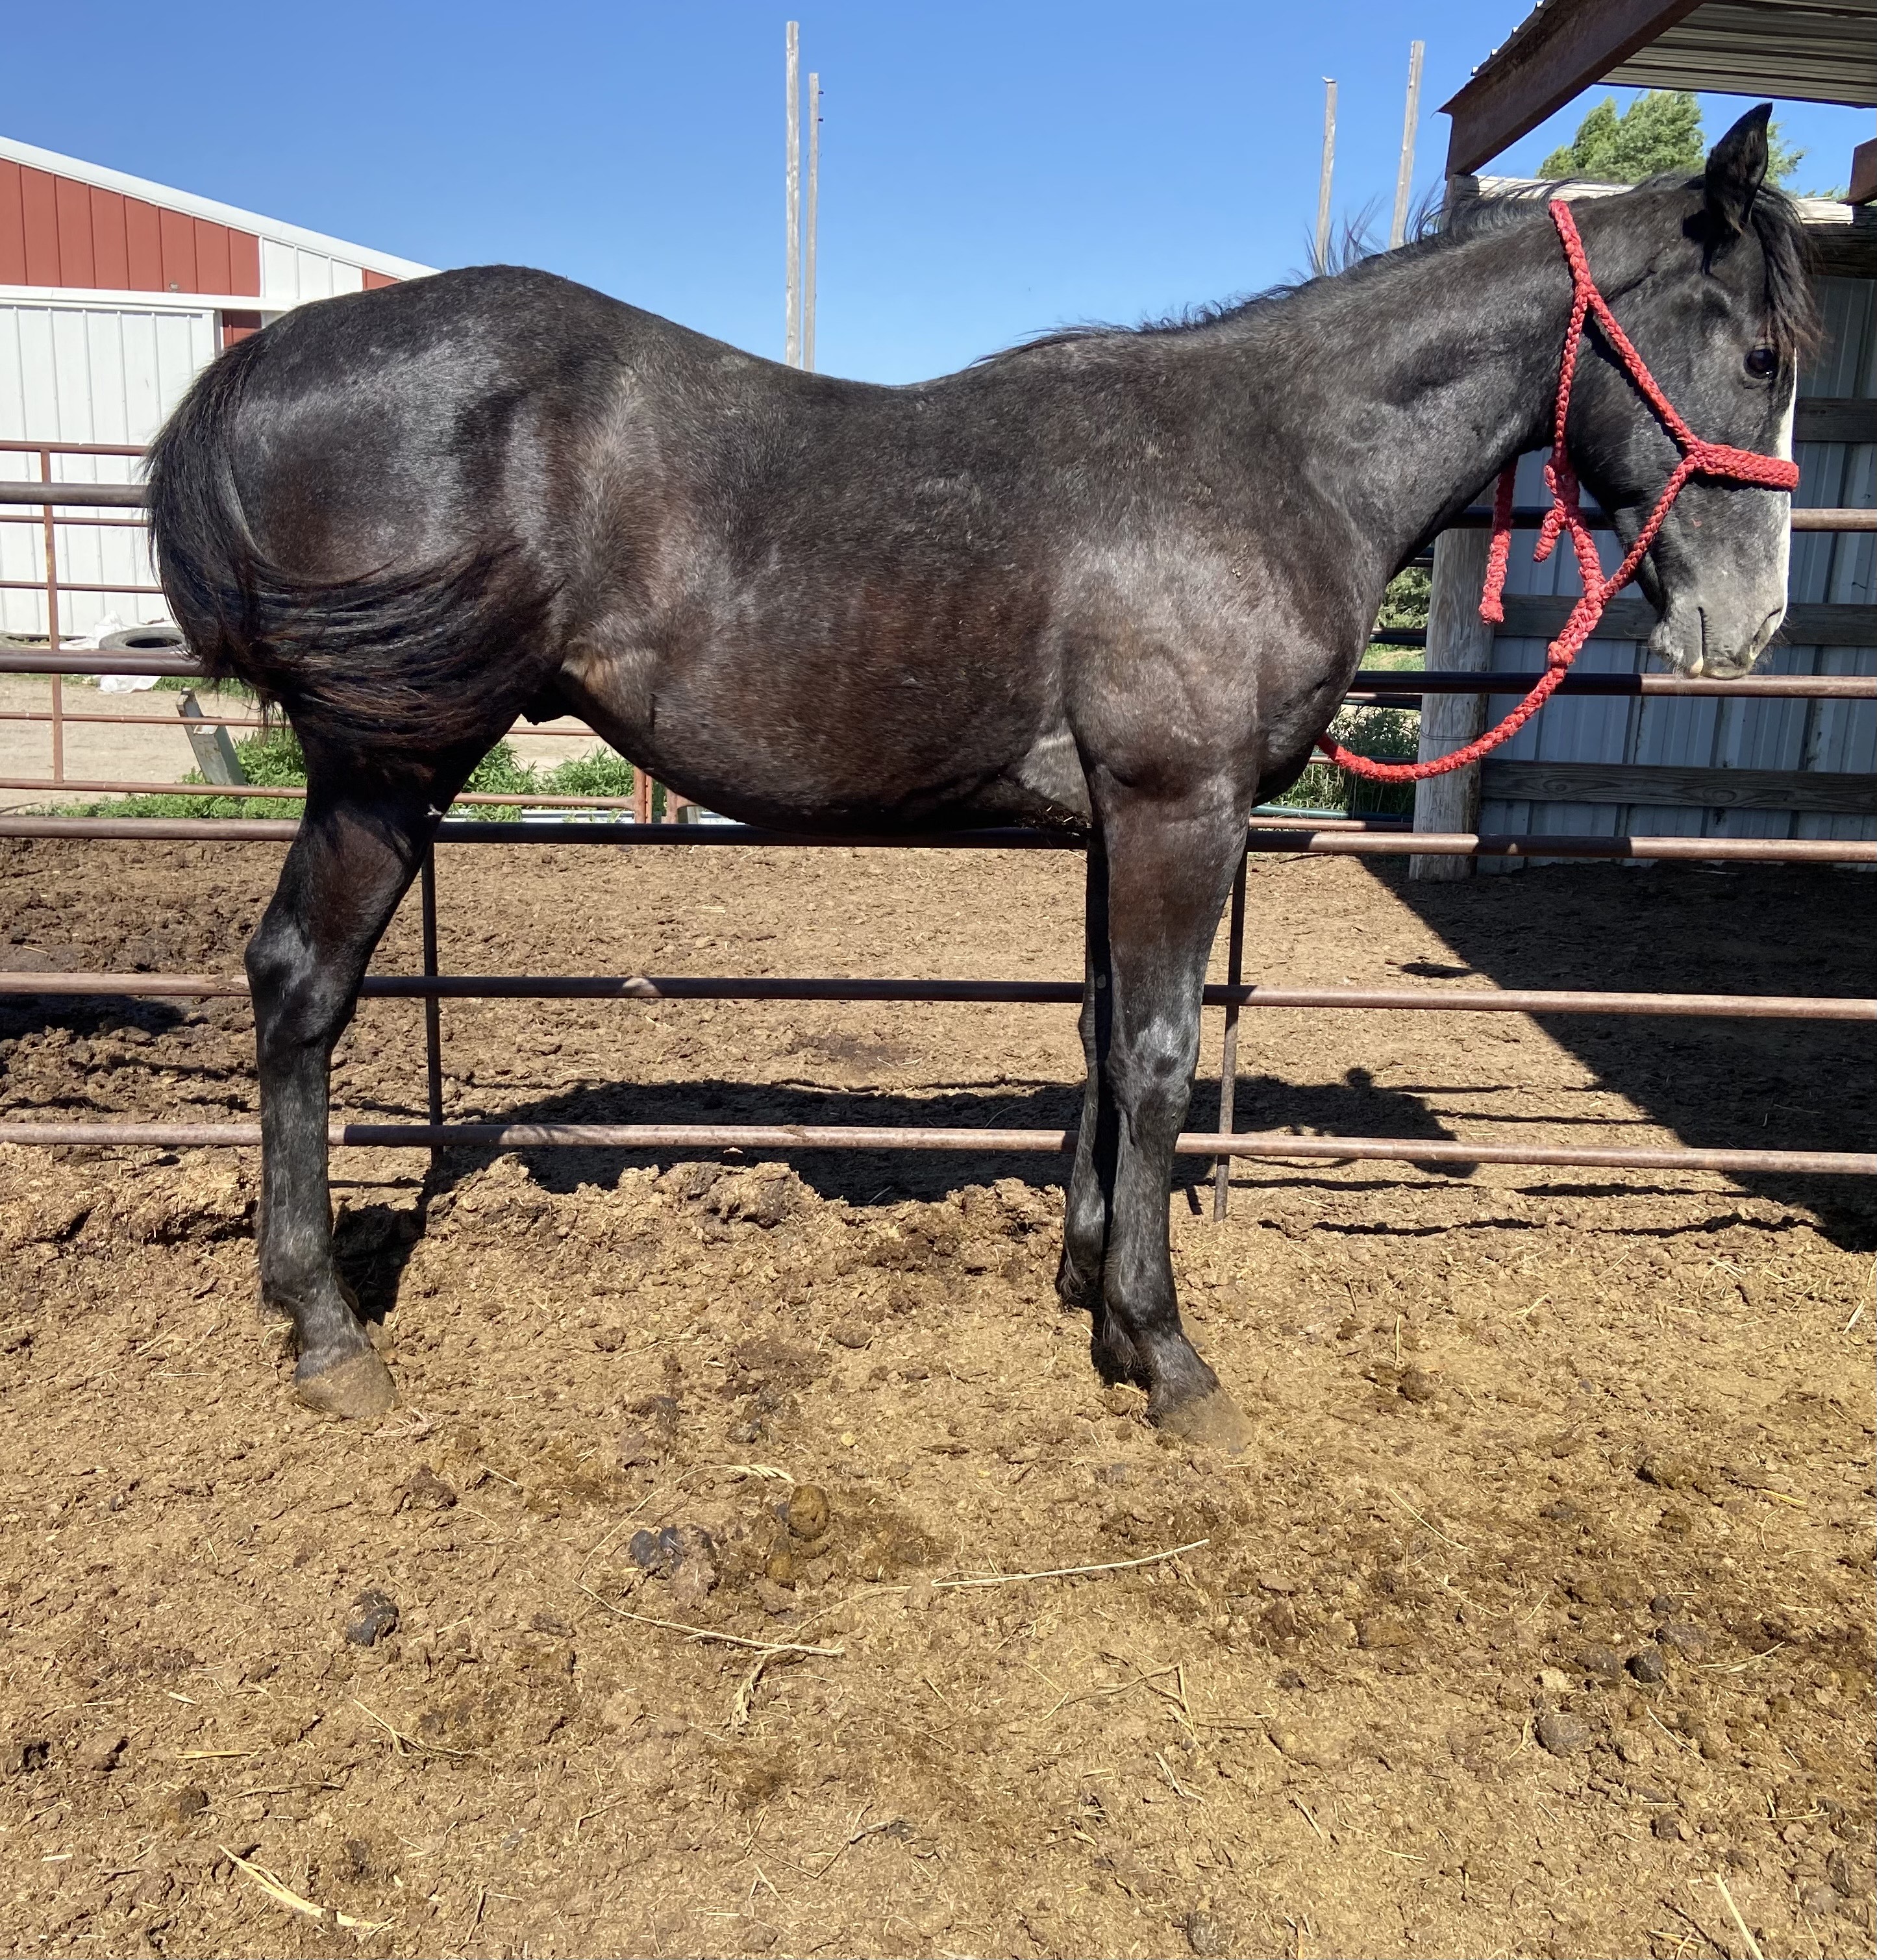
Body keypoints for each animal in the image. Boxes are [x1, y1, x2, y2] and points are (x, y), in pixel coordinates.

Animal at [146, 105, 1809, 1440]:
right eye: (1761, 354)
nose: (1748, 625)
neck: (1269, 459)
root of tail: (272, 358)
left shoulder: (1116, 823)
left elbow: (1100, 1038)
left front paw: (1086, 1288)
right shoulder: (1181, 808)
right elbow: (1159, 1054)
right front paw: (1164, 1350)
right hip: (387, 761)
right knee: (299, 983)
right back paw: (326, 1329)